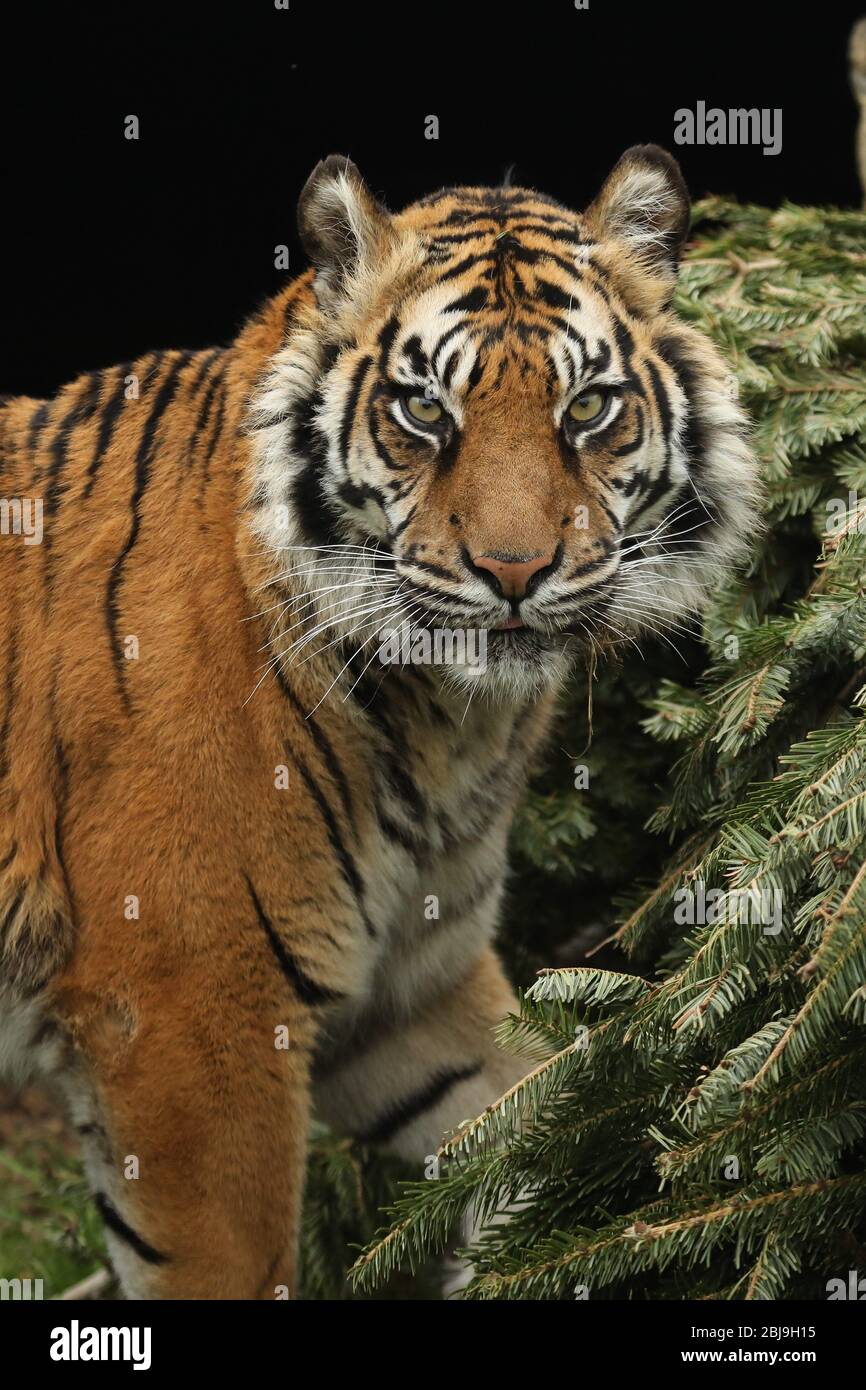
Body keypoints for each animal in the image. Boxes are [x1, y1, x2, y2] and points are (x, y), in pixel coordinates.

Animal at [0, 145, 759, 1299]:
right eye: (423, 411)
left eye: (587, 408)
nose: (513, 572)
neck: (445, 726)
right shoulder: (188, 1019)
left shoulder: (411, 986)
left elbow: (528, 1113)